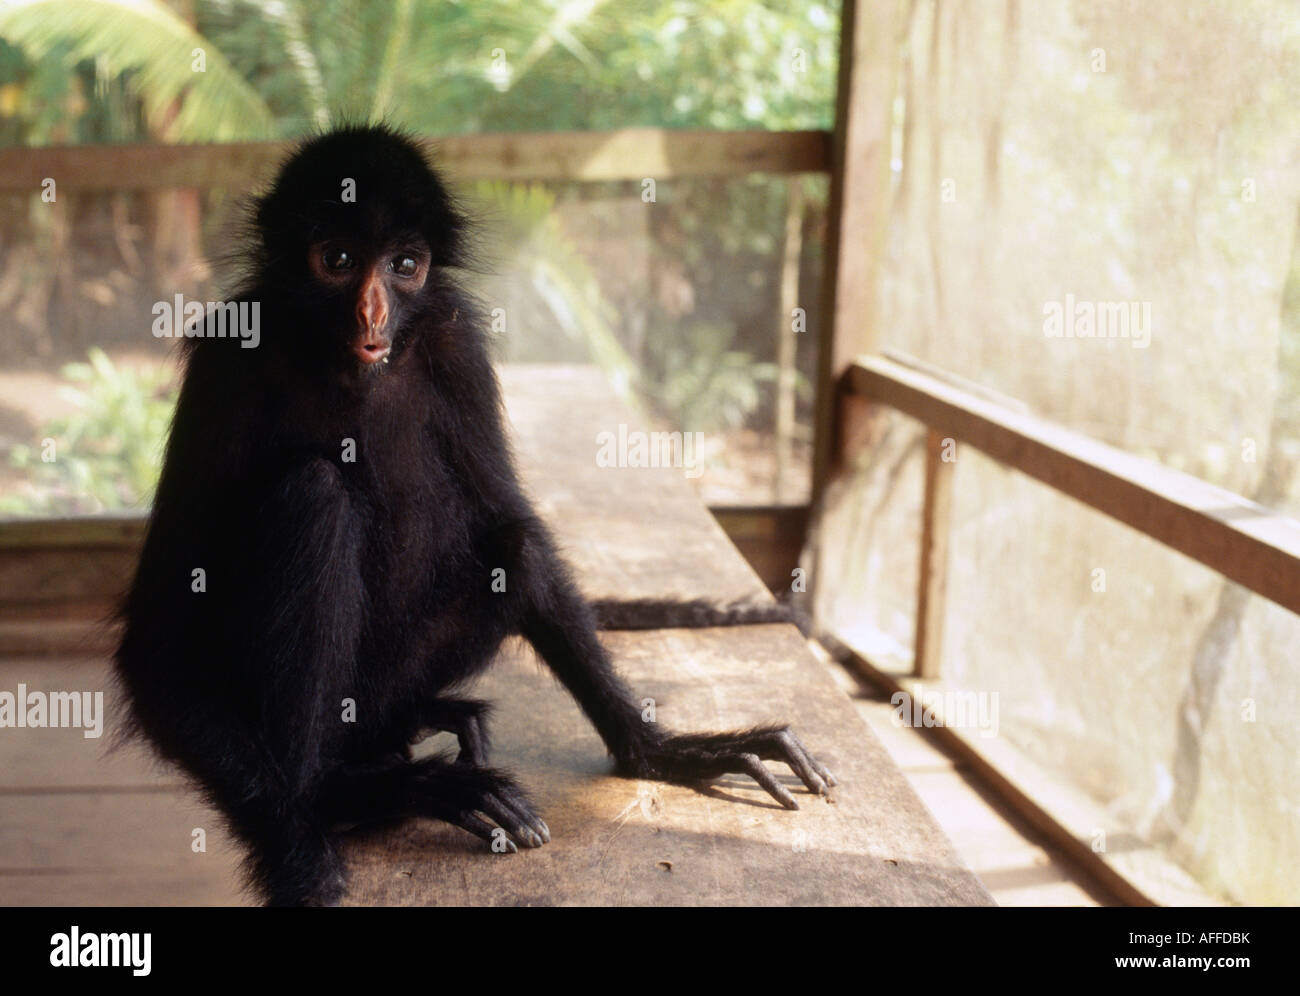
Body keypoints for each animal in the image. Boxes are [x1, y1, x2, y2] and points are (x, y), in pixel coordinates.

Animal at [114, 124, 835, 906]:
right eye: (337, 260)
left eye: (405, 265)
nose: (373, 315)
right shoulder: (226, 360)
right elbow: (157, 639)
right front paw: (298, 848)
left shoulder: (457, 344)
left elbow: (510, 519)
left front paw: (662, 751)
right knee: (315, 492)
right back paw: (357, 791)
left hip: (382, 680)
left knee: (510, 547)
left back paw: (408, 730)